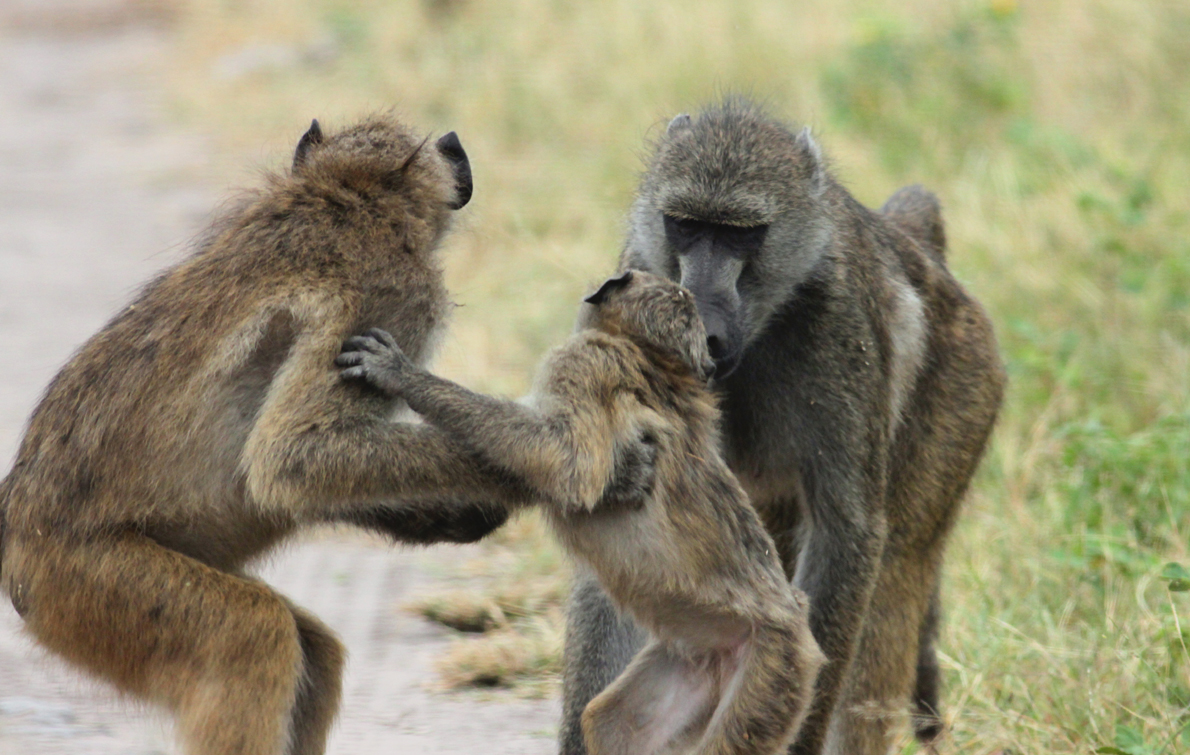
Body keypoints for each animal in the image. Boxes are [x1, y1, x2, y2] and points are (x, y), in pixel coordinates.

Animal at [0, 115, 530, 755]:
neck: (349, 195)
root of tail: (18, 537)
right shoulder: (397, 300)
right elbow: (290, 460)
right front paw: (524, 463)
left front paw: (461, 513)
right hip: (85, 584)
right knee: (252, 637)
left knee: (313, 651)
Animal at [337, 269, 825, 755]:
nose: (711, 349)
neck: (652, 357)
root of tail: (797, 622)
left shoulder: (585, 363)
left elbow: (566, 464)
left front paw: (401, 375)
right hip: (701, 664)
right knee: (610, 726)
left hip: (773, 666)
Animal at [559, 99, 1006, 755]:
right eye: (685, 225)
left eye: (741, 233)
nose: (706, 327)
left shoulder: (839, 328)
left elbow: (847, 531)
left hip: (963, 394)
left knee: (893, 584)